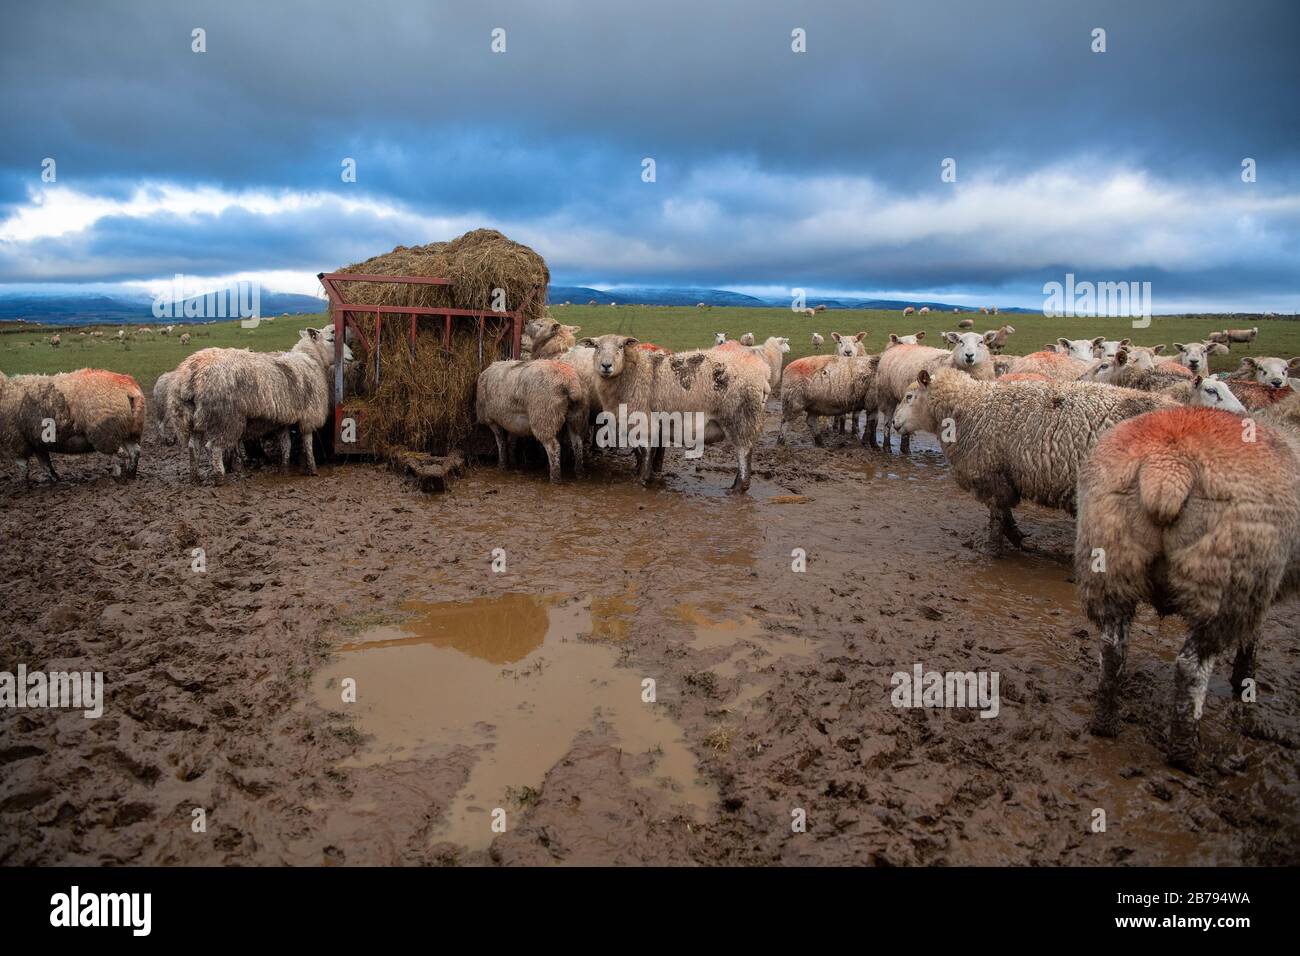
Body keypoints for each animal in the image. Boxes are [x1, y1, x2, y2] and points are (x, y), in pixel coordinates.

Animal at [1, 369, 145, 484]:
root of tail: (127, 386)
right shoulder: (36, 443)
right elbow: (46, 465)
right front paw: (55, 480)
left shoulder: (16, 441)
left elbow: (23, 467)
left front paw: (25, 486)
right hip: (129, 432)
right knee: (134, 452)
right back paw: (130, 475)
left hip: (108, 433)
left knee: (119, 455)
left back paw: (118, 477)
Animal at [169, 328, 340, 484]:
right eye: (331, 340)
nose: (346, 357)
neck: (311, 358)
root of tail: (191, 373)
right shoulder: (309, 414)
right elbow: (307, 443)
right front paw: (312, 469)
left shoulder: (283, 418)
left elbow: (286, 444)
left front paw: (284, 469)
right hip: (225, 418)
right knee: (214, 448)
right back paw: (220, 478)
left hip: (193, 418)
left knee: (193, 446)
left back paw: (195, 478)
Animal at [576, 334, 770, 493]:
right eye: (596, 347)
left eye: (621, 346)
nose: (606, 366)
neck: (633, 371)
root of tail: (762, 375)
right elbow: (643, 449)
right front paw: (644, 472)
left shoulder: (644, 418)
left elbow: (646, 450)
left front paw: (643, 479)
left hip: (741, 418)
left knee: (744, 453)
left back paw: (737, 488)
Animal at [892, 367, 1174, 552]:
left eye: (909, 397)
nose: (894, 423)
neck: (969, 406)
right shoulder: (1005, 477)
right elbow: (1005, 515)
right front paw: (1018, 539)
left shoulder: (992, 474)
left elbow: (997, 517)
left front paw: (992, 549)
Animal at [1074, 395, 1300, 767]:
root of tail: (1168, 468)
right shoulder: (1262, 582)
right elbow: (1253, 637)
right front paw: (1244, 678)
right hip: (1225, 577)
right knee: (1191, 668)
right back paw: (1186, 752)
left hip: (1110, 557)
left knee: (1112, 648)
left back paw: (1106, 723)